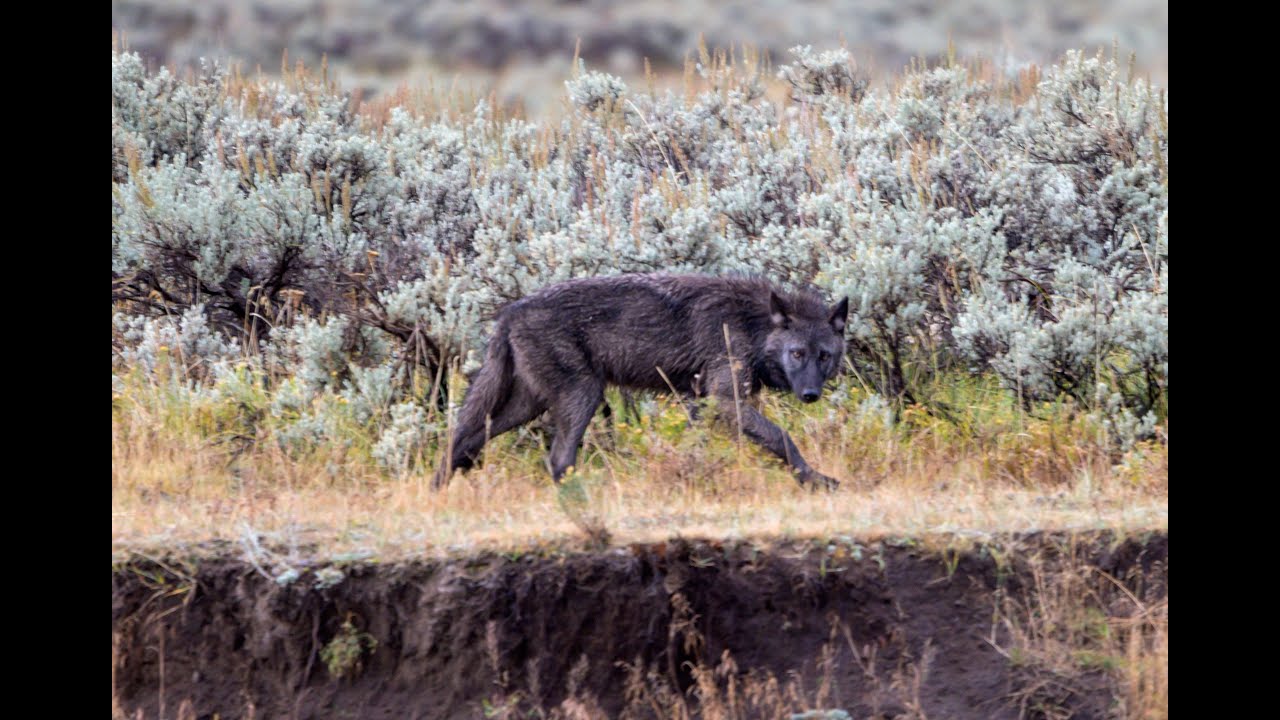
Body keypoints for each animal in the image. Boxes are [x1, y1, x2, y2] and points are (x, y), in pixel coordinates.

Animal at [432, 273, 849, 489]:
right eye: (797, 354)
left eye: (824, 356)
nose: (810, 395)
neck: (752, 325)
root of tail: (509, 313)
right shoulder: (725, 400)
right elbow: (783, 437)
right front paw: (816, 479)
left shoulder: (702, 403)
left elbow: (694, 445)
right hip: (583, 396)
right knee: (558, 459)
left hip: (527, 405)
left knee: (466, 437)